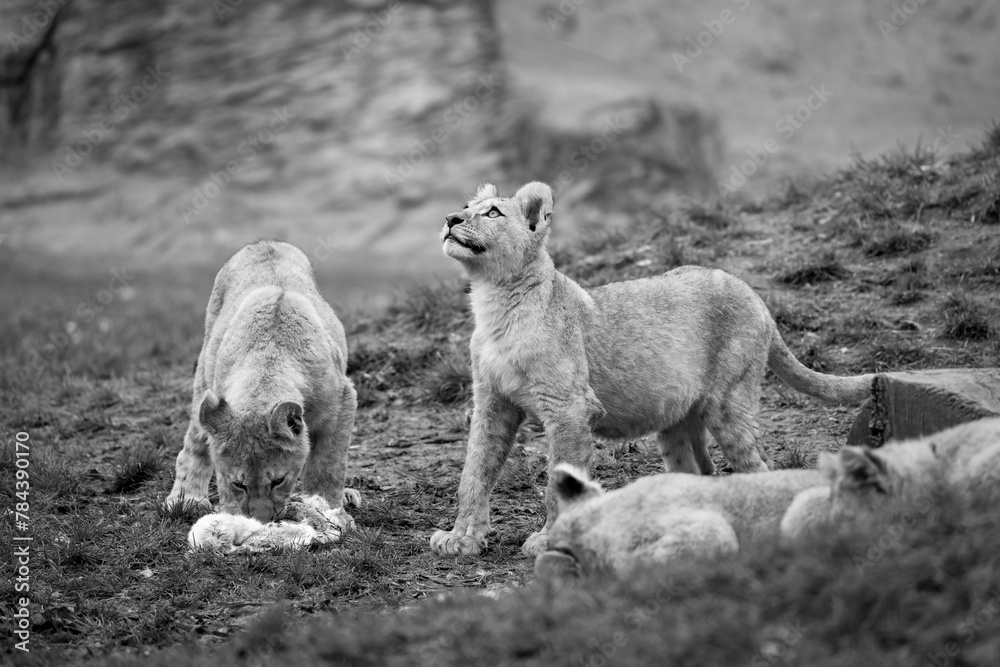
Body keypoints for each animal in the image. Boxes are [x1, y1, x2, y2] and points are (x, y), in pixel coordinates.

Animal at [165, 240, 360, 528]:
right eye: (239, 484)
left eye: (278, 481)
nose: (262, 521)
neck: (267, 366)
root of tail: (266, 242)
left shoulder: (343, 400)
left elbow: (329, 463)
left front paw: (327, 507)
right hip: (205, 381)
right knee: (194, 442)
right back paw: (185, 499)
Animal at [430, 181, 874, 558]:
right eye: (466, 206)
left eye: (492, 213)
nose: (450, 218)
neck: (495, 302)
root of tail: (755, 296)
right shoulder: (493, 403)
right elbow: (474, 470)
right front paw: (460, 537)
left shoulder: (569, 407)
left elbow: (558, 477)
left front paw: (548, 538)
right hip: (678, 418)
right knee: (699, 470)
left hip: (729, 402)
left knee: (755, 467)